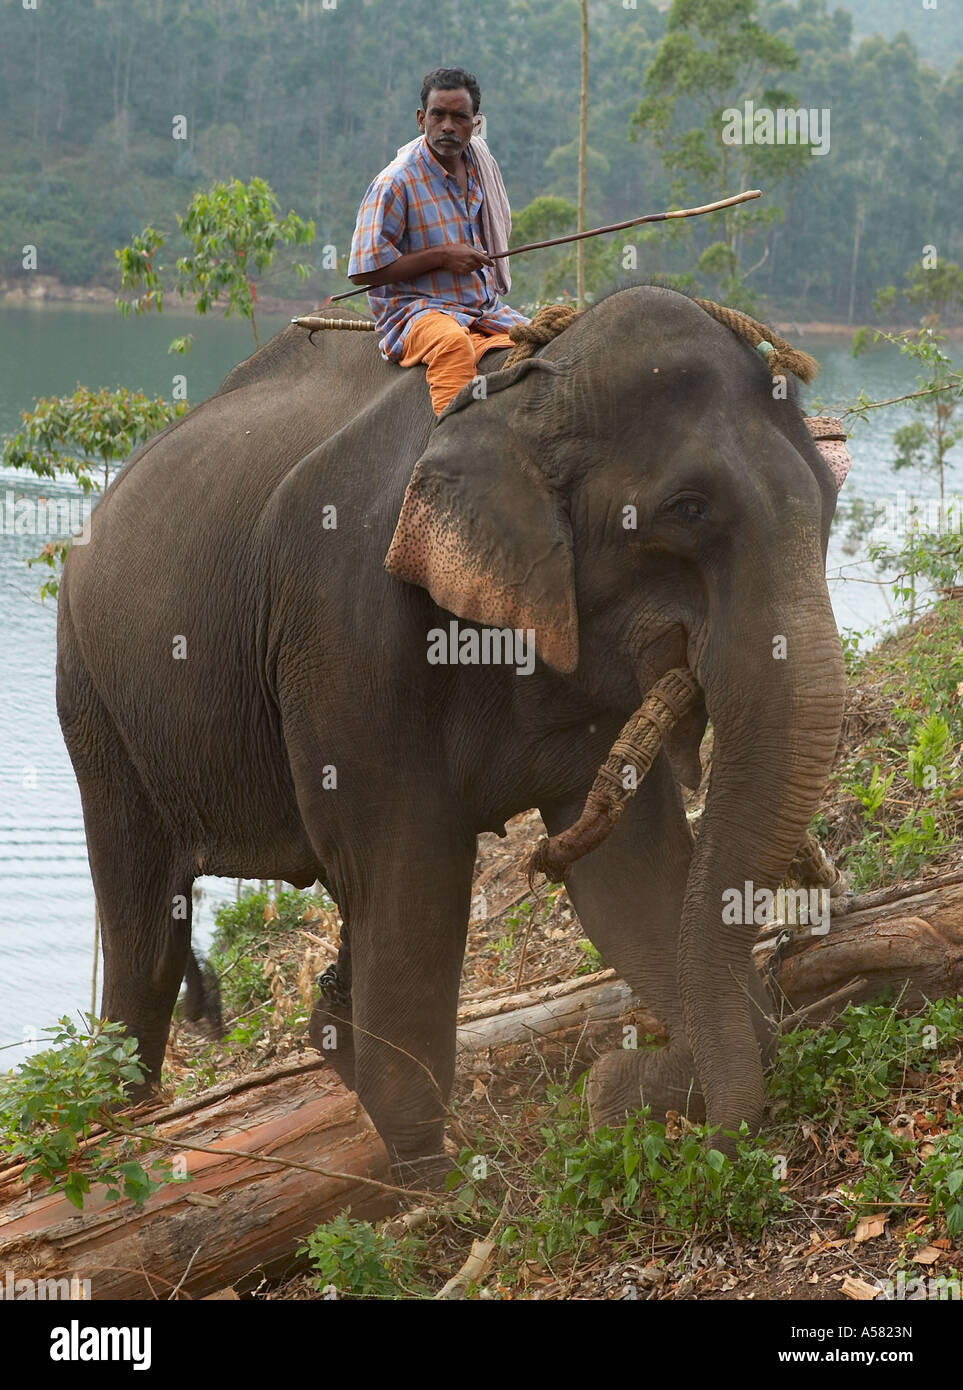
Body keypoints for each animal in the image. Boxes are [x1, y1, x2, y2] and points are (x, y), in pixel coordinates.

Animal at [56, 285, 845, 1184]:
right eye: (686, 510)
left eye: (829, 504)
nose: (615, 1086)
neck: (519, 393)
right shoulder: (347, 622)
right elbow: (413, 873)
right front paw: (434, 1193)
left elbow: (627, 881)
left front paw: (625, 1088)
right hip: (92, 695)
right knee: (147, 929)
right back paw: (122, 1131)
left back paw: (323, 1031)